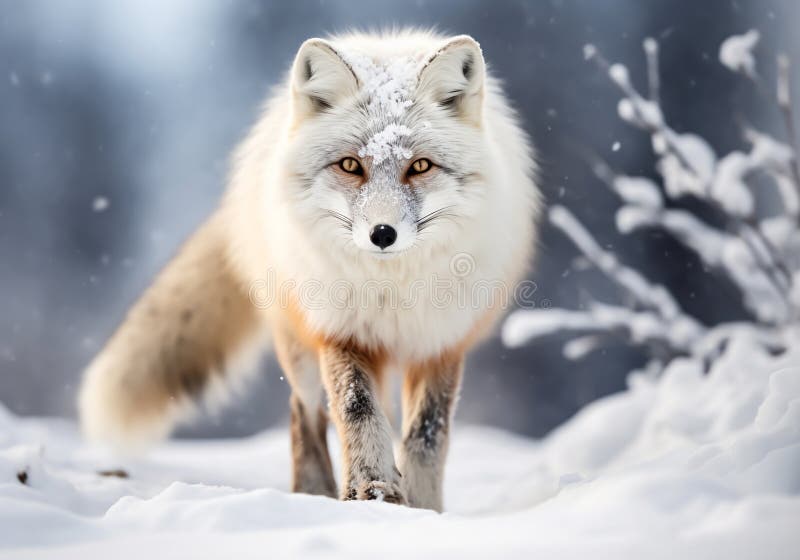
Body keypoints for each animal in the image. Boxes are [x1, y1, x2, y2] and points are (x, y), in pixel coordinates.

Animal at [78, 29, 540, 512]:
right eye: (351, 165)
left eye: (419, 166)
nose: (382, 234)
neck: (390, 290)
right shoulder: (341, 330)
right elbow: (357, 410)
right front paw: (371, 490)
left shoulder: (441, 342)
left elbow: (427, 434)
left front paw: (423, 506)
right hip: (299, 346)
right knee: (305, 415)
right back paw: (313, 494)